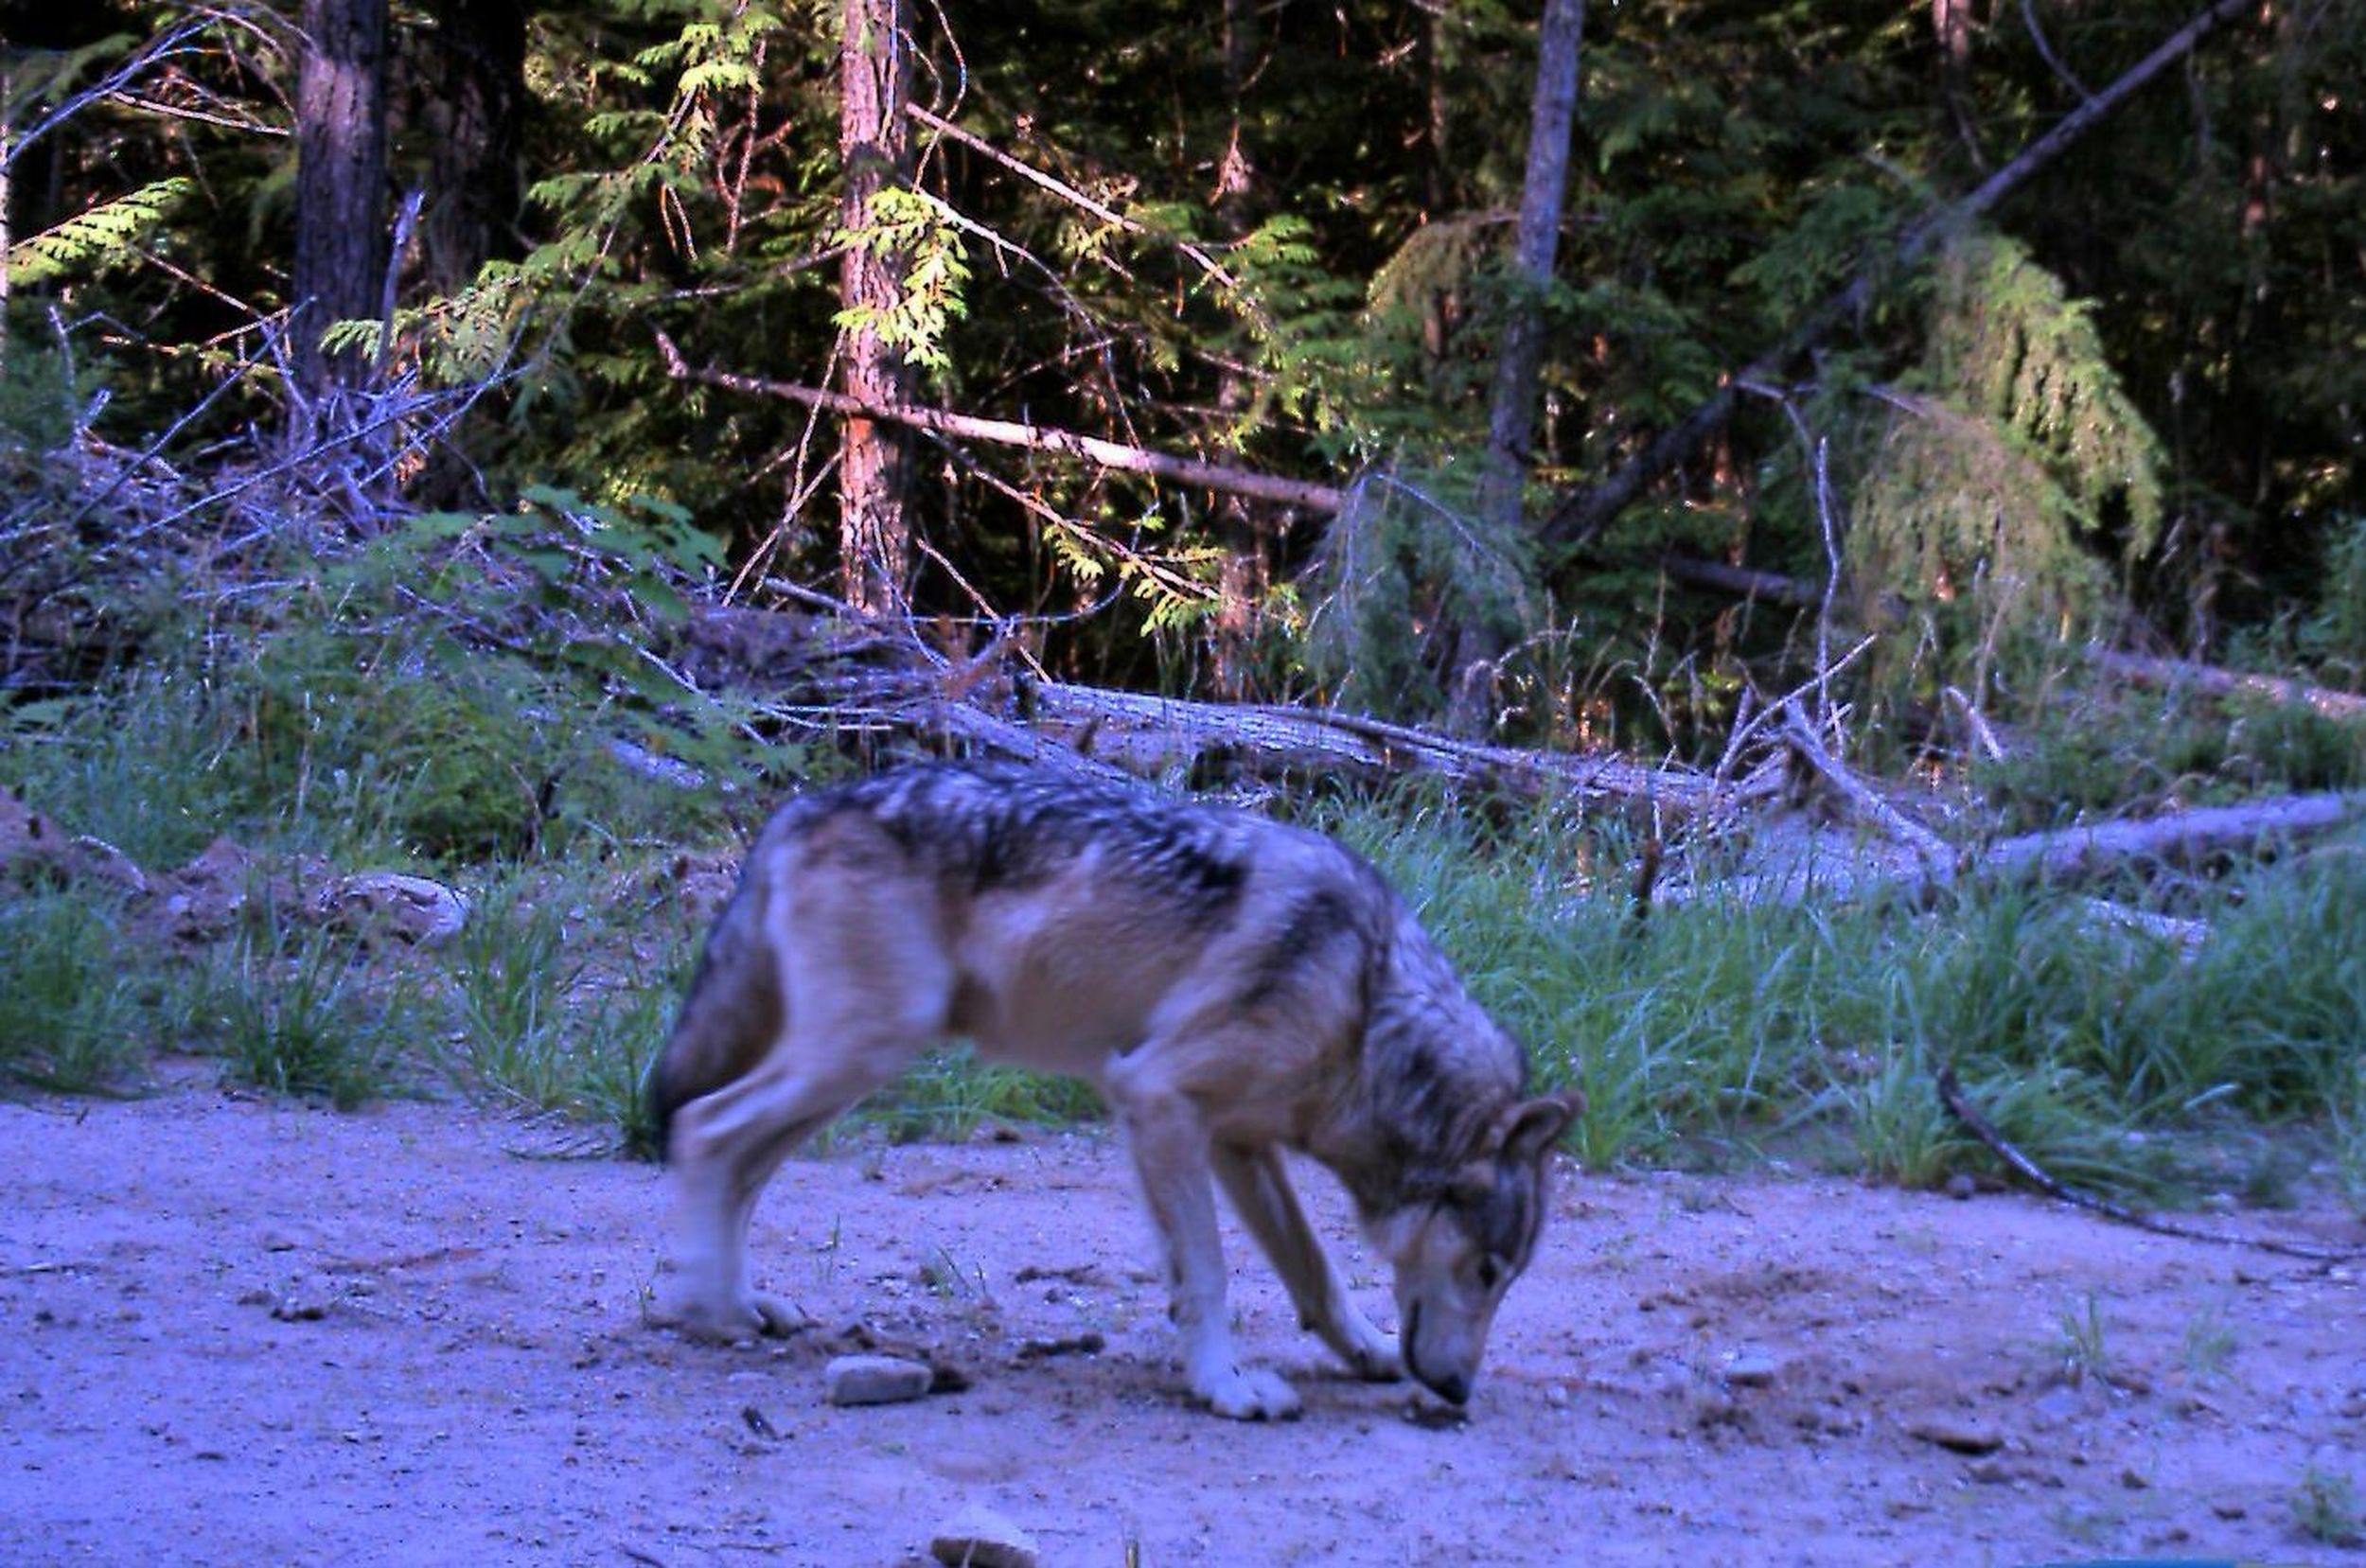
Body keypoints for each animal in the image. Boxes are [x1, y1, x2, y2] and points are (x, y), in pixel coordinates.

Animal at [646, 762, 1579, 1419]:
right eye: (1489, 1269)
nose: (1458, 1391)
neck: (1364, 999)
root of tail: (799, 810)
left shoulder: (1238, 1142)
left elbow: (1314, 1271)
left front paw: (1367, 1350)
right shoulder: (1156, 1097)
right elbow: (1209, 1272)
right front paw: (1227, 1386)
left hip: (846, 1074)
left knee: (738, 1166)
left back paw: (744, 1301)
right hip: (857, 1055)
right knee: (702, 1127)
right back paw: (712, 1312)